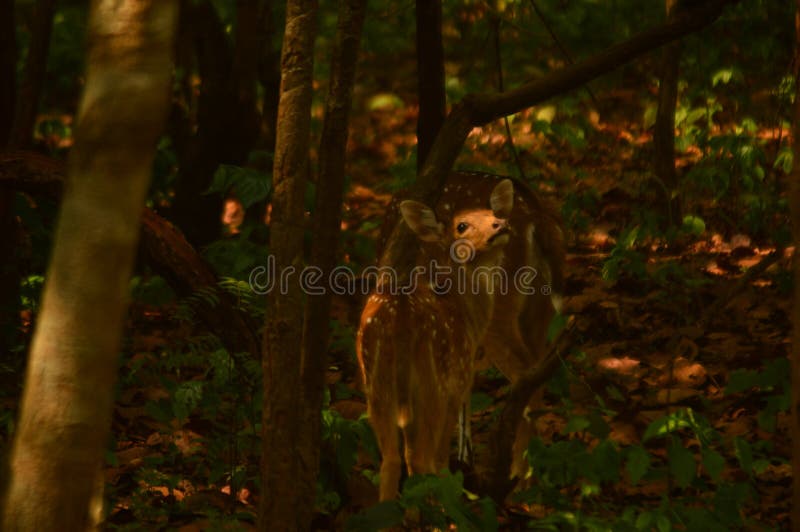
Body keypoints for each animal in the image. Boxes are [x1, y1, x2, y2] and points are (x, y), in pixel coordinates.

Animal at [357, 178, 515, 501]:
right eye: (462, 225)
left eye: (492, 212)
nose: (500, 224)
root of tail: (400, 324)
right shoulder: (458, 384)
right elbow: (441, 459)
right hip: (431, 385)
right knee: (421, 459)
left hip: (375, 384)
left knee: (391, 460)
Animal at [376, 171, 565, 485]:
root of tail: (538, 218)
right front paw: (463, 458)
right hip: (539, 312)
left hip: (502, 315)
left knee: (526, 377)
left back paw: (519, 474)